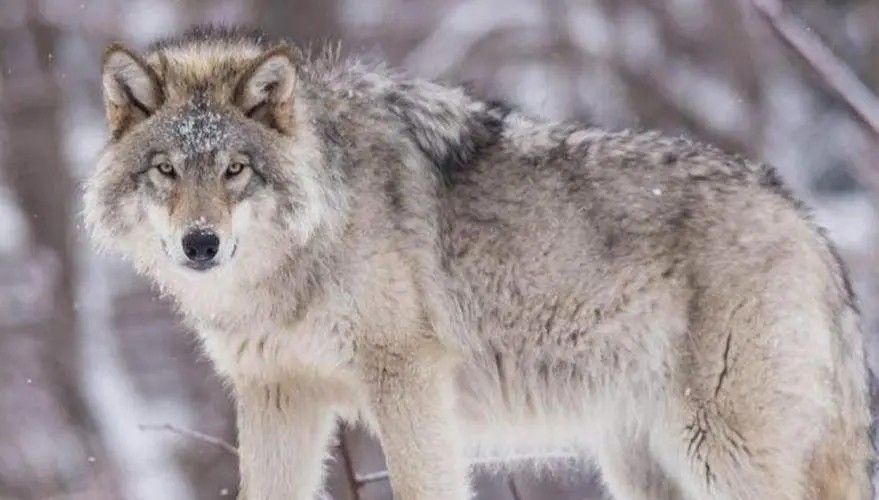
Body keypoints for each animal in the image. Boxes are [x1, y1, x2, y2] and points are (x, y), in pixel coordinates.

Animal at [84, 25, 873, 500]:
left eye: (235, 170)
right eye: (165, 171)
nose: (201, 244)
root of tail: (806, 223)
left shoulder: (405, 377)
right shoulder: (278, 393)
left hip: (719, 452)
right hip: (644, 463)